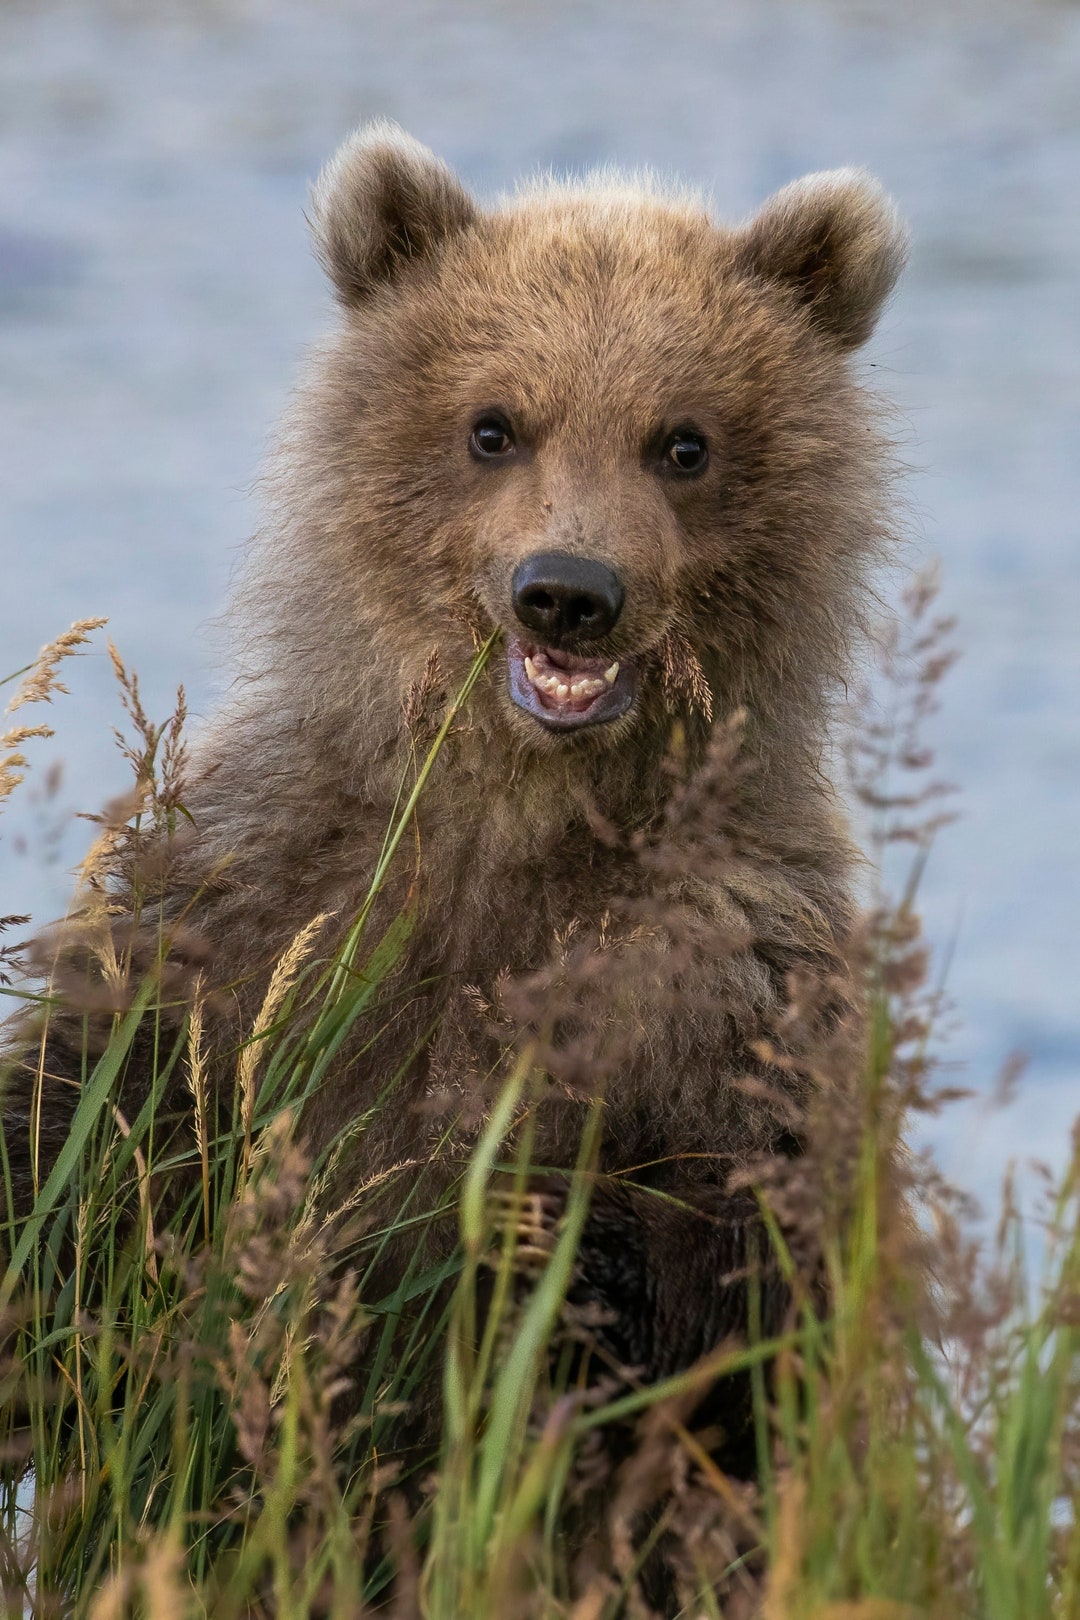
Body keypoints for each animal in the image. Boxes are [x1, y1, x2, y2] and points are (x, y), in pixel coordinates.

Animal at [3, 122, 907, 1538]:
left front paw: (562, 1250)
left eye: (683, 441)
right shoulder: (247, 913)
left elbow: (755, 1295)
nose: (570, 591)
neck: (520, 812)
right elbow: (82, 1157)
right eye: (495, 424)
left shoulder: (740, 986)